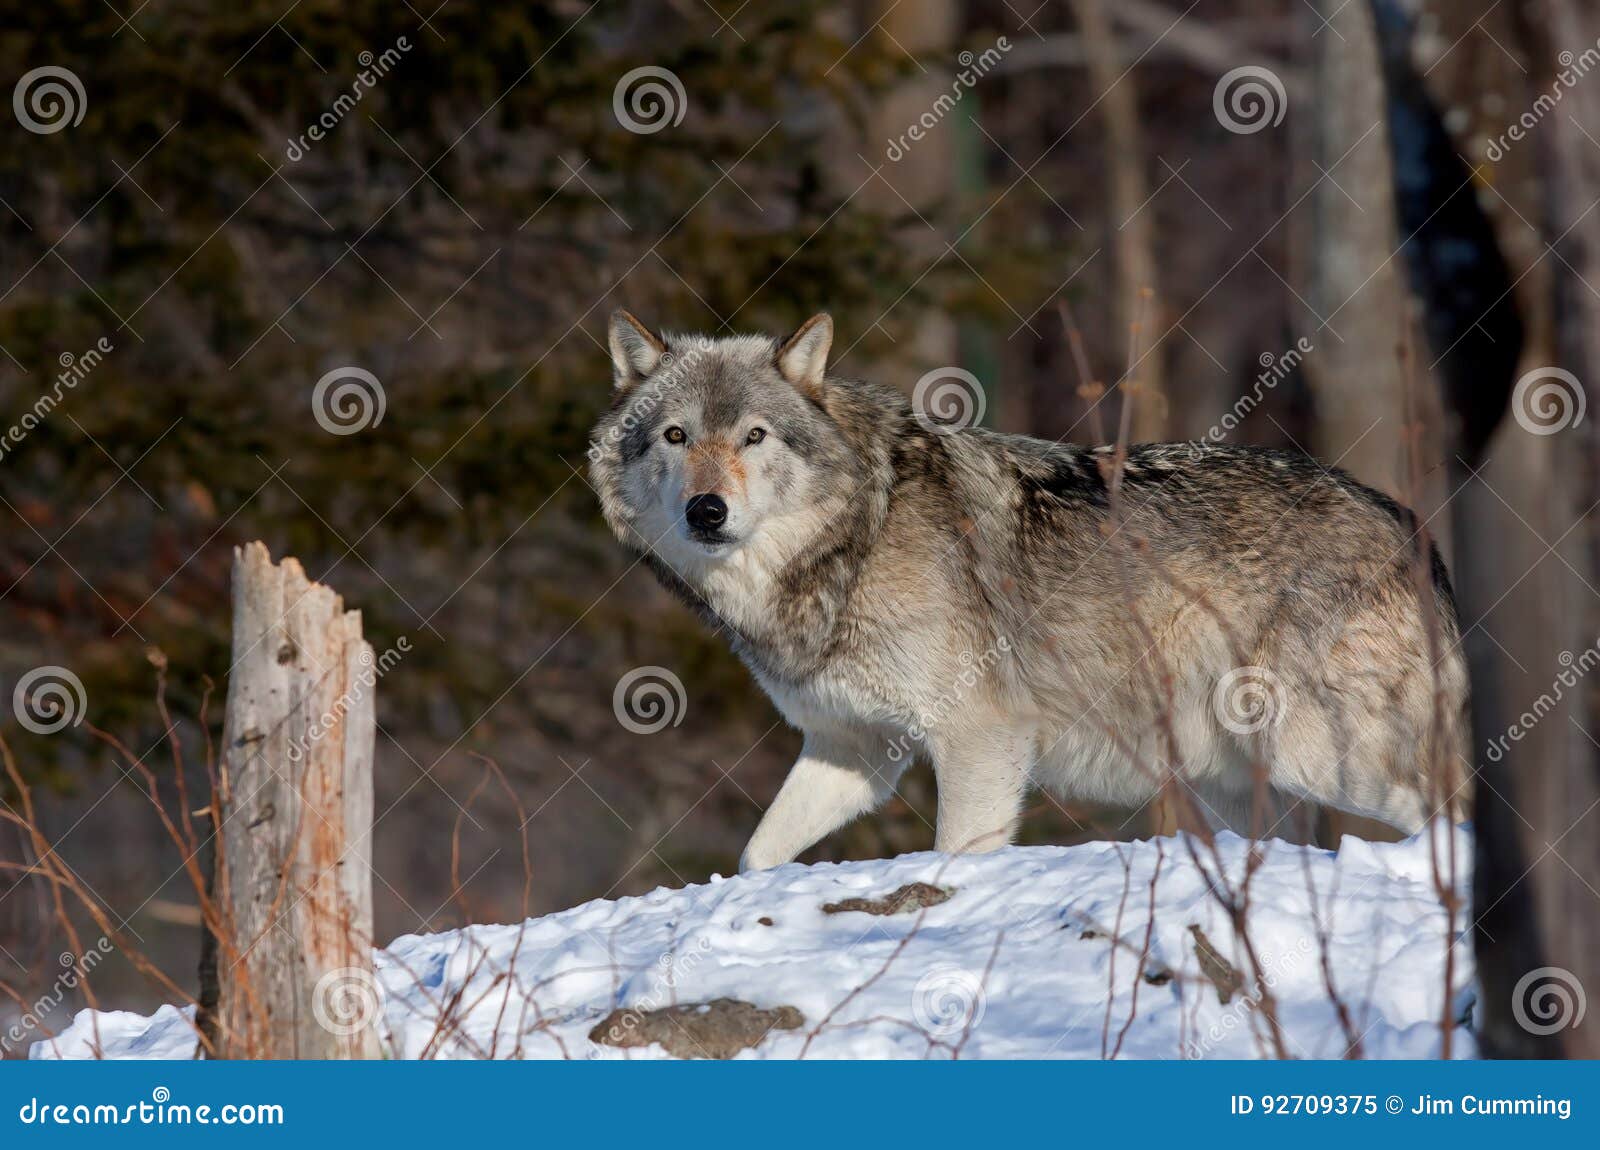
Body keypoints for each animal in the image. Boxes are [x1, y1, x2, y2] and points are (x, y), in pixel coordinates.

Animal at [589, 310, 1470, 871]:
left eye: (754, 437)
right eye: (675, 436)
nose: (707, 511)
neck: (856, 541)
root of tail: (1409, 524)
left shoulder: (981, 737)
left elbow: (955, 857)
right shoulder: (853, 750)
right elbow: (755, 854)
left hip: (1321, 756)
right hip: (1236, 779)